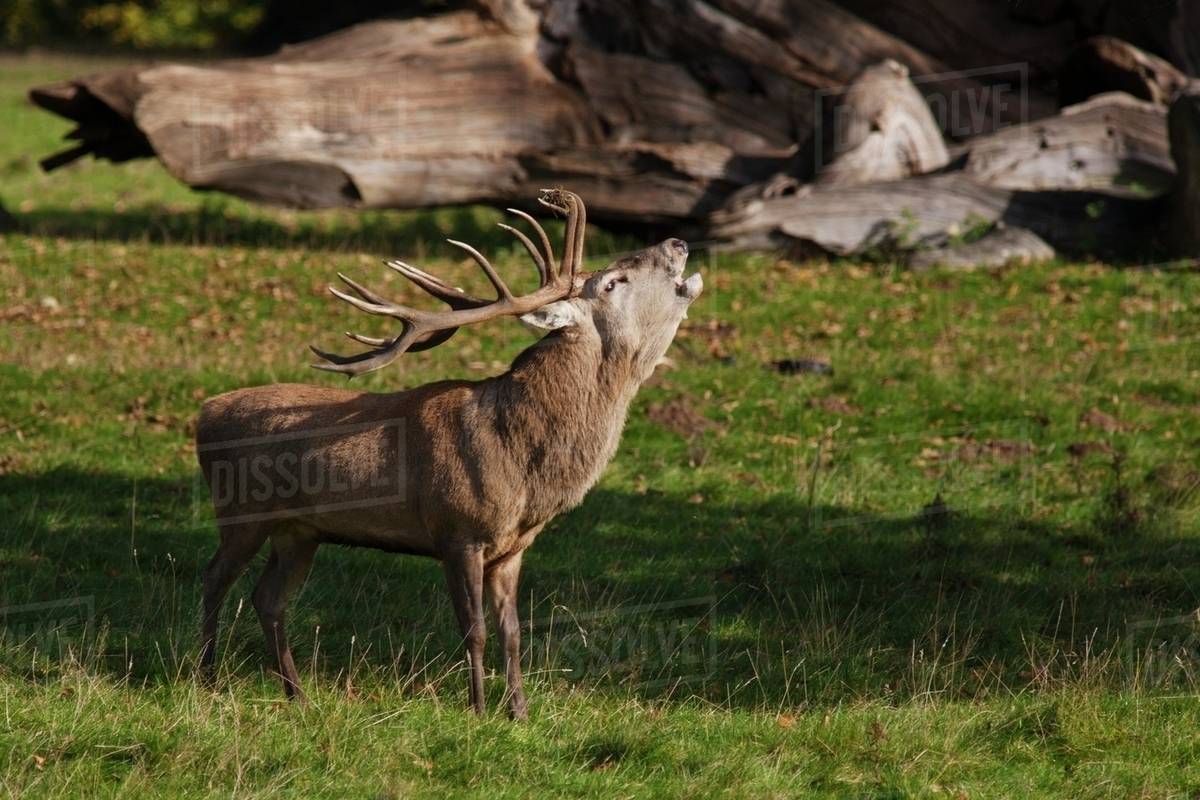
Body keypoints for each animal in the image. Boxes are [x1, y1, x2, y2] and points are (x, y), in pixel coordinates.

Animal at [195, 190, 703, 718]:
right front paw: (478, 709)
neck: (522, 466)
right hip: (239, 512)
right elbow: (473, 629)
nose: (677, 242)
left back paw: (297, 693)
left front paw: (519, 713)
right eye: (612, 282)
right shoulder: (457, 529)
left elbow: (513, 632)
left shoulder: (511, 549)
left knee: (268, 598)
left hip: (299, 531)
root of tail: (203, 414)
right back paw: (206, 676)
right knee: (213, 579)